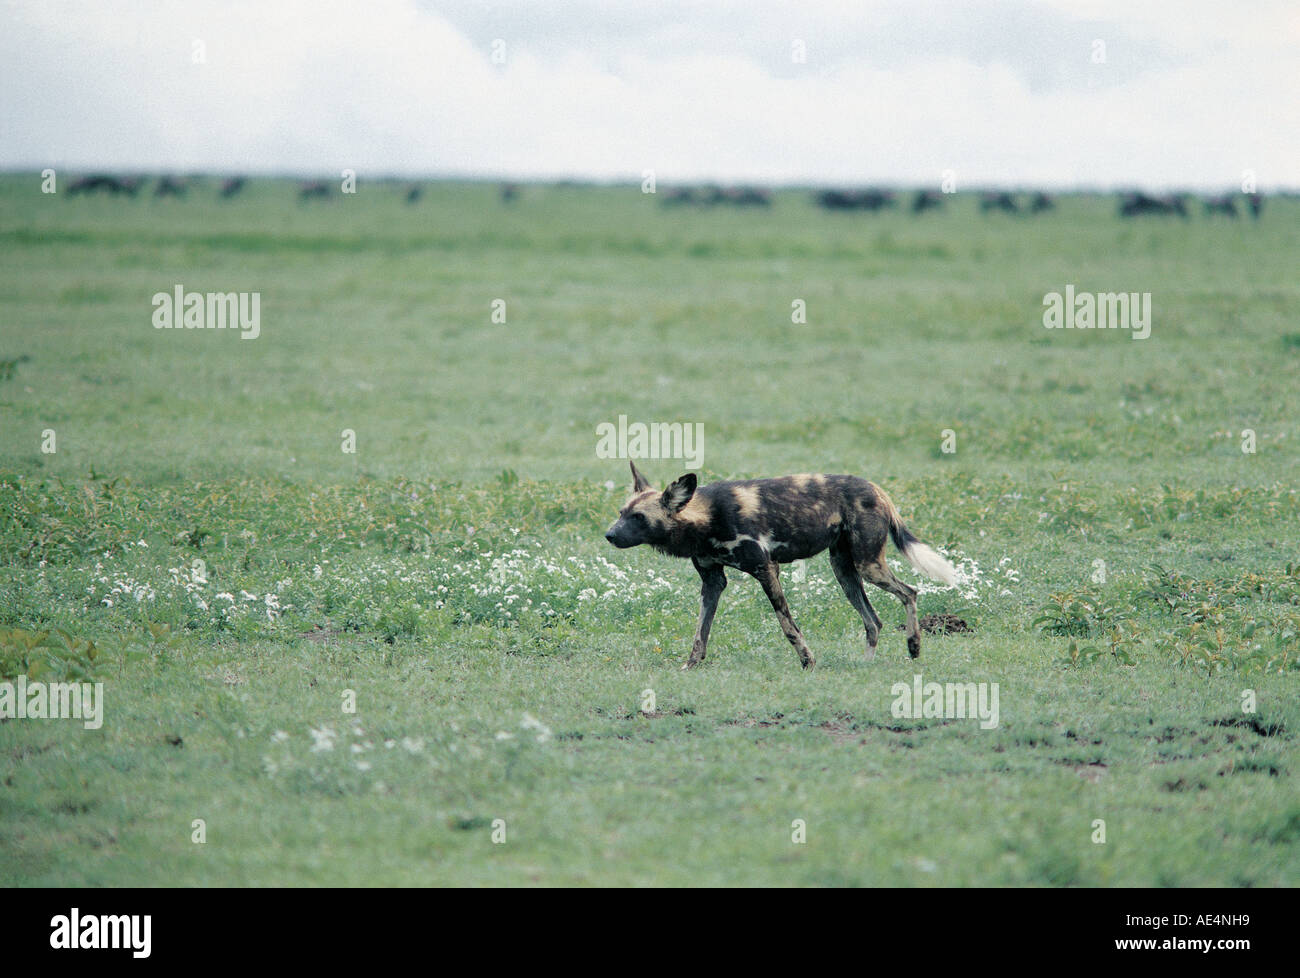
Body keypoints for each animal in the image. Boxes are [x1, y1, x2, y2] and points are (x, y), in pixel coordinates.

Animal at [604, 463, 957, 670]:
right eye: (622, 513)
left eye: (639, 518)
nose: (609, 534)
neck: (706, 519)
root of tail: (878, 489)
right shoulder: (713, 583)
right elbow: (700, 633)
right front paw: (690, 667)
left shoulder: (766, 570)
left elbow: (788, 626)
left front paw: (808, 662)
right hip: (845, 571)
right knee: (874, 621)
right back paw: (865, 665)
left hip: (868, 566)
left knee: (909, 592)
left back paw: (914, 646)